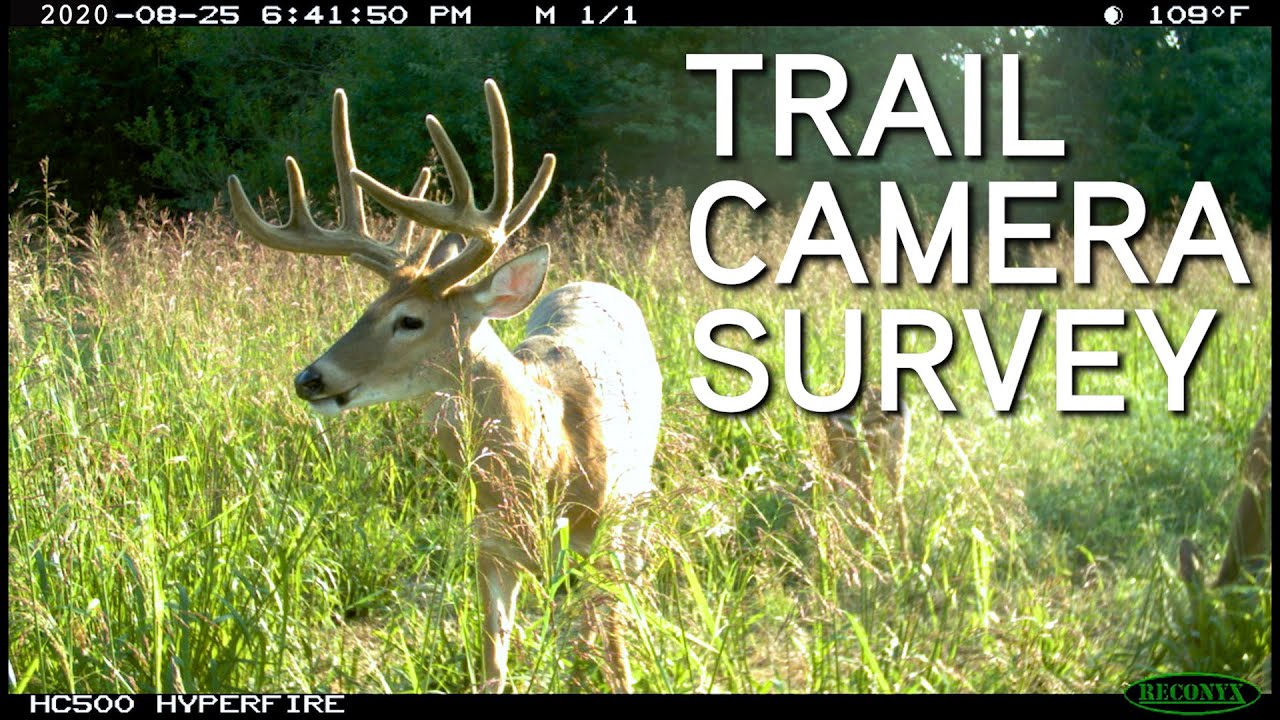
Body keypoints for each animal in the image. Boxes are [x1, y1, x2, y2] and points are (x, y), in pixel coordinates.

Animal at [226, 80, 662, 693]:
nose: (309, 378)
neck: (549, 455)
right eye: (367, 308)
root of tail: (589, 281)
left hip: (638, 488)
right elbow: (493, 661)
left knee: (630, 576)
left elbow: (614, 649)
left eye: (410, 320)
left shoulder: (595, 534)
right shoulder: (488, 545)